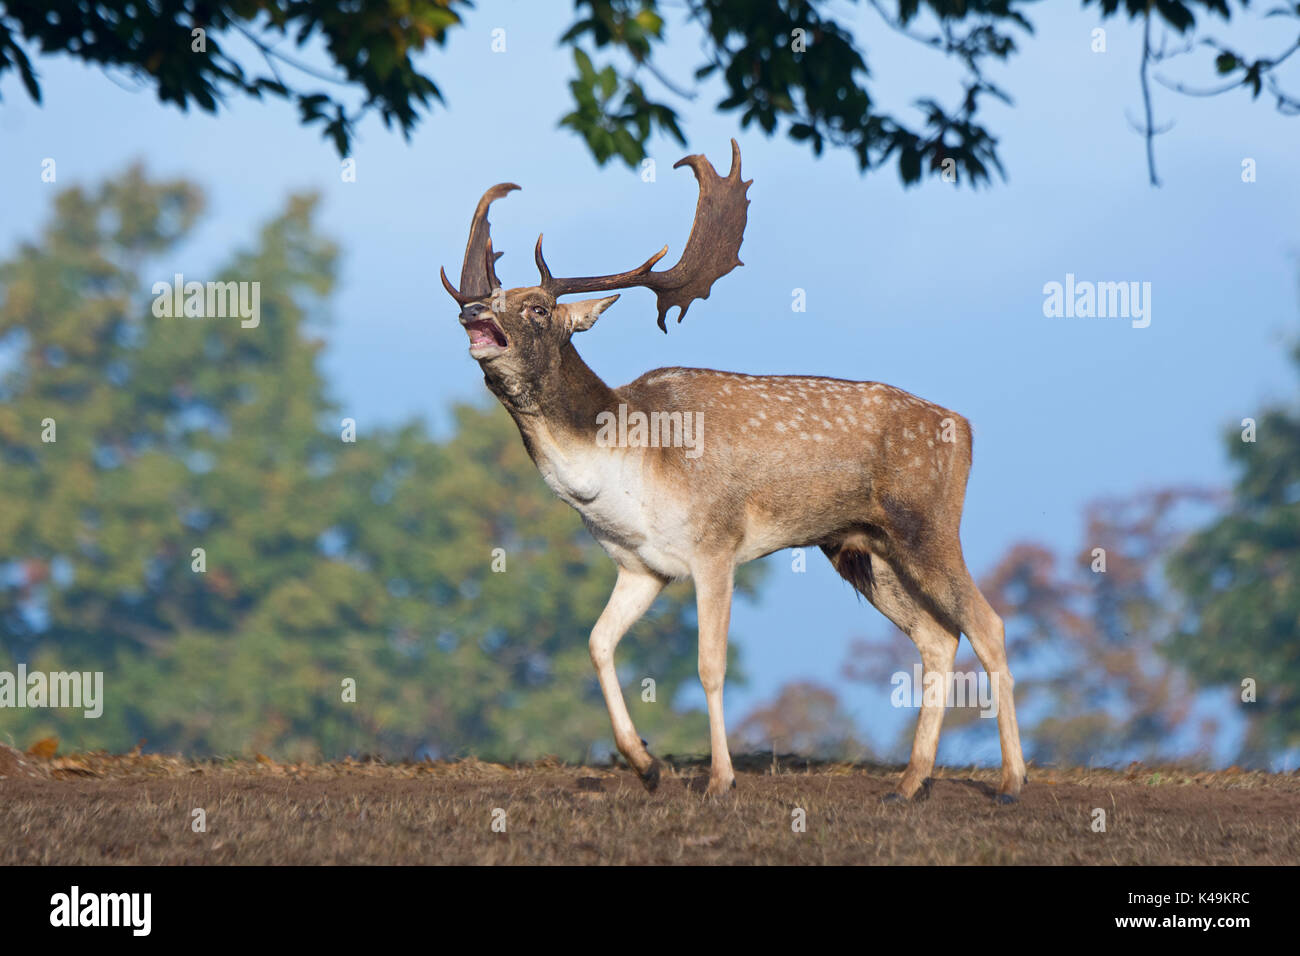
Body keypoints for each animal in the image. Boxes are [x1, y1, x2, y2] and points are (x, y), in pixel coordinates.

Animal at [439, 140, 1027, 802]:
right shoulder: (639, 565)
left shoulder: (716, 544)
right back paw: (910, 782)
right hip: (862, 547)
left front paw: (720, 778)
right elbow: (596, 643)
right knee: (938, 636)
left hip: (927, 524)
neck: (621, 467)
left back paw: (1011, 779)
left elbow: (709, 663)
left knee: (988, 625)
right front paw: (646, 764)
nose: (472, 309)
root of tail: (967, 428)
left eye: (538, 307)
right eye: (486, 300)